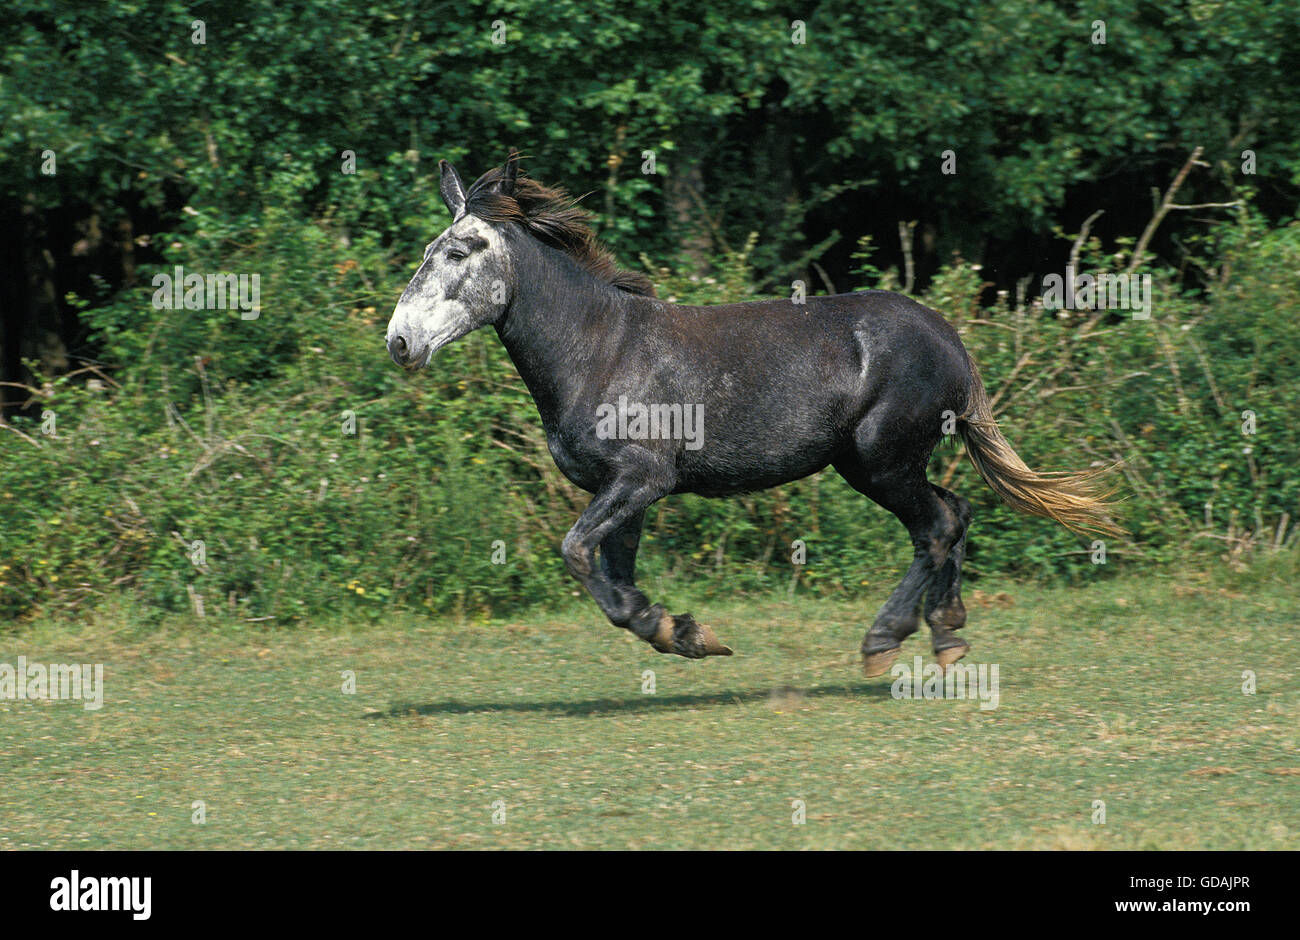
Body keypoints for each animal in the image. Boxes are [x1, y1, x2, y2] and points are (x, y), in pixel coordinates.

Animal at [386, 150, 1121, 676]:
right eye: (426, 251)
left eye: (457, 252)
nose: (400, 343)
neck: (597, 348)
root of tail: (947, 337)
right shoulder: (624, 491)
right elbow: (612, 579)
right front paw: (678, 631)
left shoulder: (642, 479)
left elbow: (576, 552)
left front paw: (682, 632)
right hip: (876, 465)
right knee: (955, 512)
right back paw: (948, 632)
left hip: (881, 462)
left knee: (936, 525)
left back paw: (884, 641)